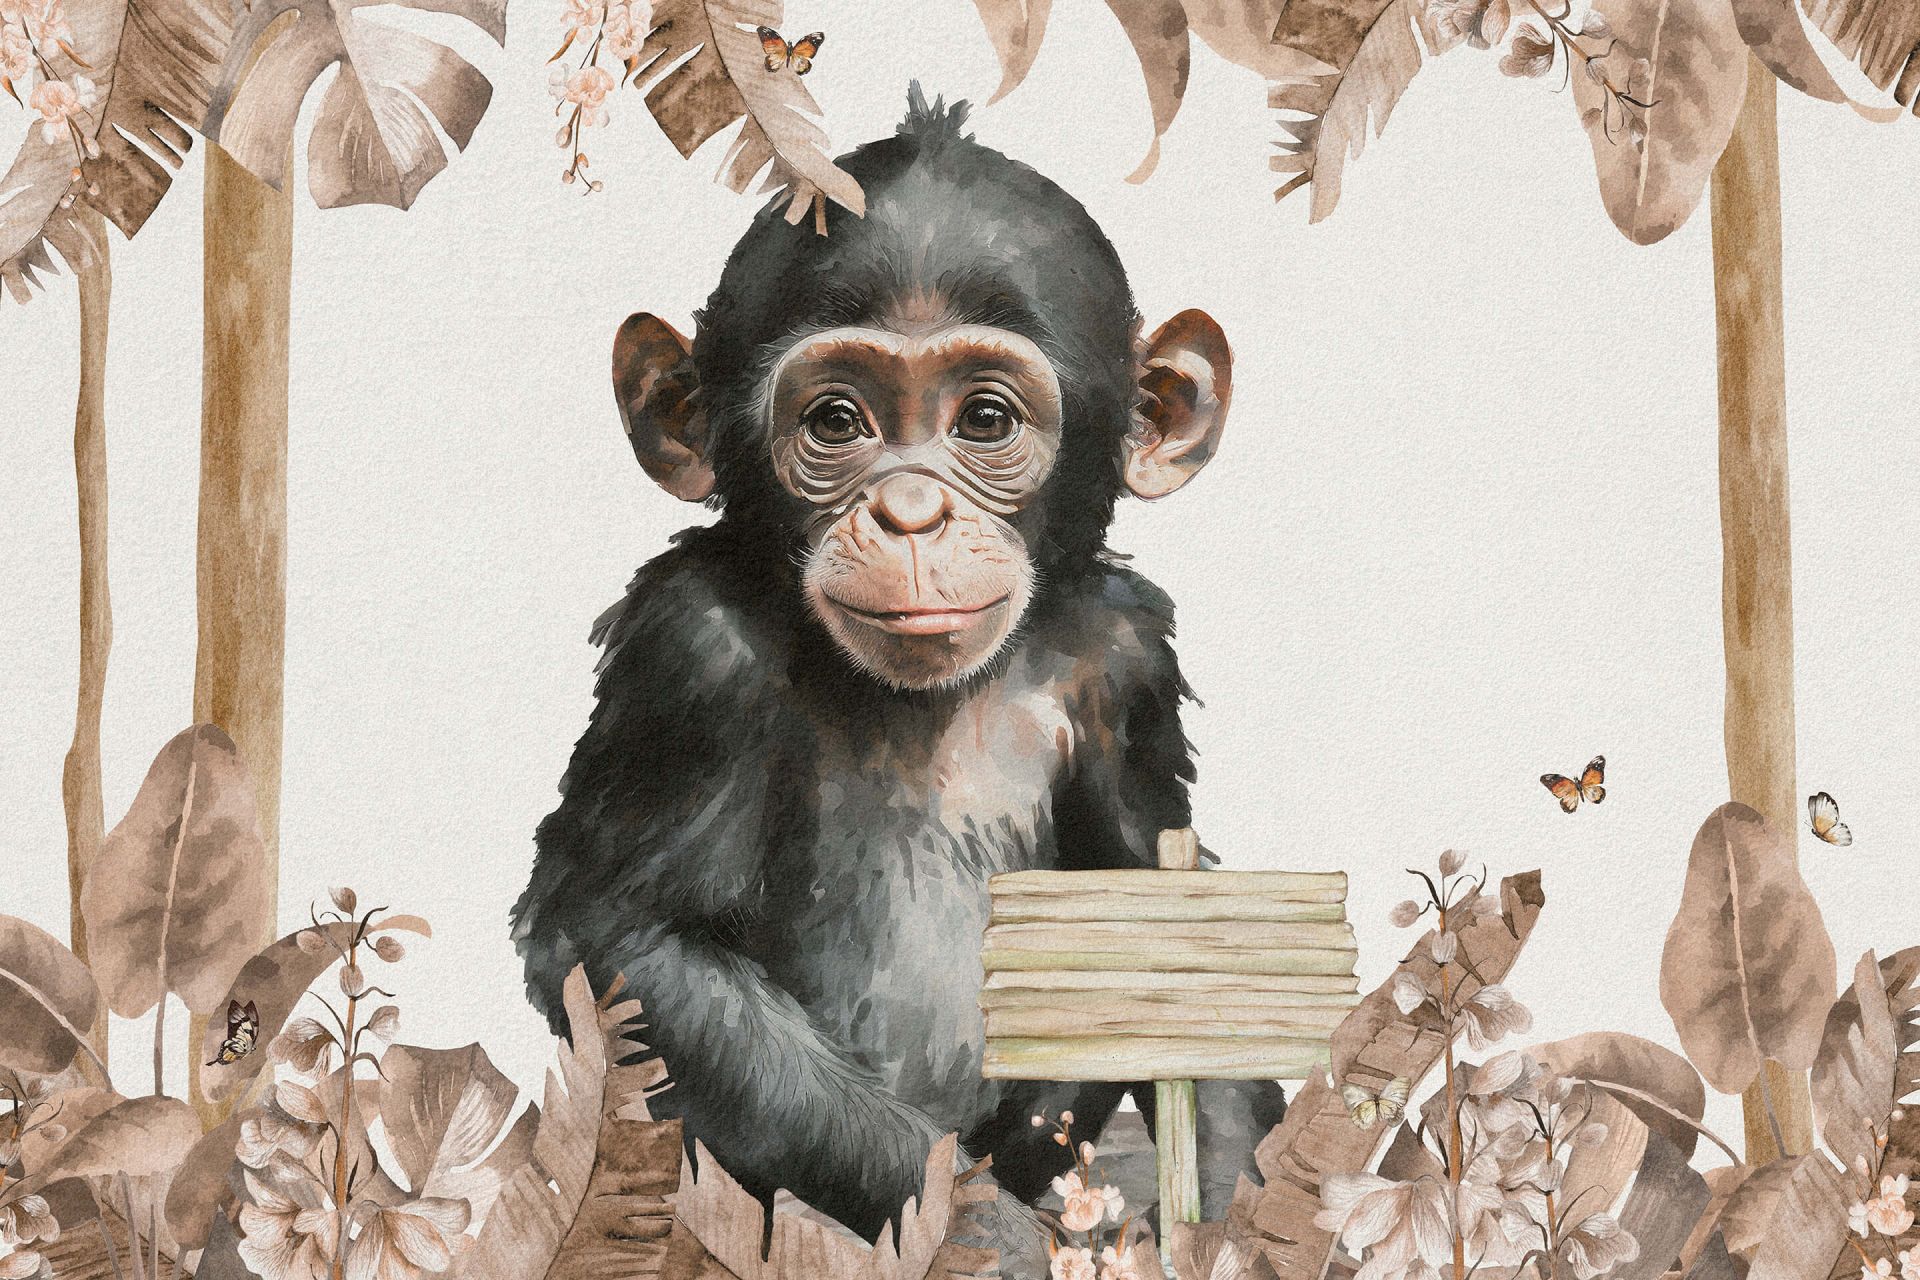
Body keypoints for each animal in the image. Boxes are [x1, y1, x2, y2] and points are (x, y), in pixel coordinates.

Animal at [510, 85, 1283, 1271]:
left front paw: (1231, 1230)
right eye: (837, 421)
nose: (911, 511)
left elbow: (1173, 915)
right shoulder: (687, 653)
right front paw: (988, 1235)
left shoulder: (1129, 660)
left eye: (985, 420)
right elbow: (629, 943)